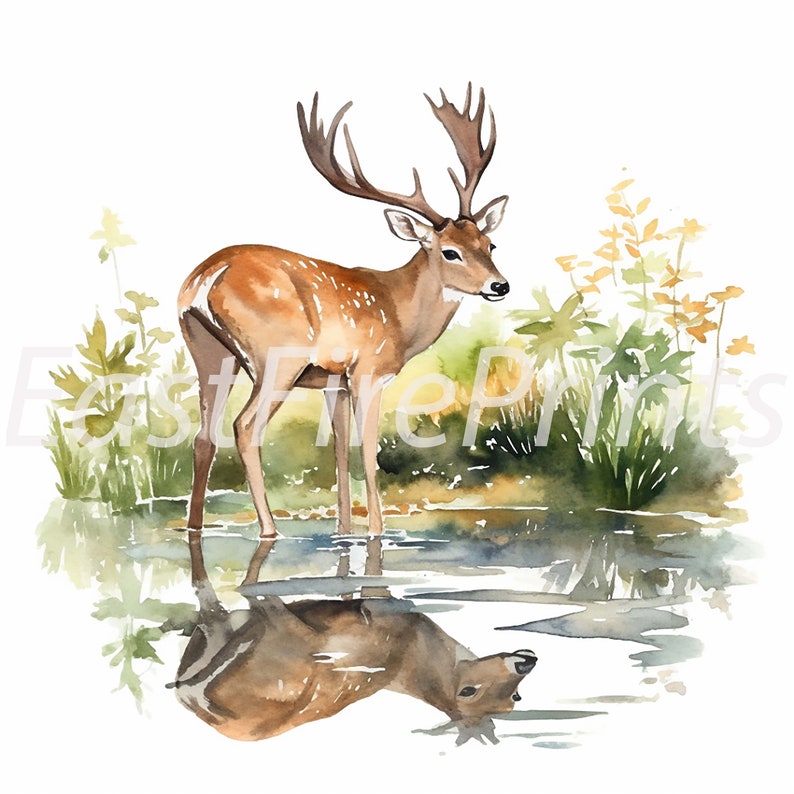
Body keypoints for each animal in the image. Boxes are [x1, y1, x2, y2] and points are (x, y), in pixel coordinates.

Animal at [178, 85, 510, 538]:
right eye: (450, 252)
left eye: (490, 245)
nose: (500, 285)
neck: (399, 313)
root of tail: (207, 277)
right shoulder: (368, 369)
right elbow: (368, 452)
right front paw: (377, 533)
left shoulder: (333, 381)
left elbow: (338, 452)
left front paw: (344, 532)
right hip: (277, 356)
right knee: (245, 428)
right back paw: (269, 530)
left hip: (209, 351)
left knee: (203, 436)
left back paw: (194, 528)